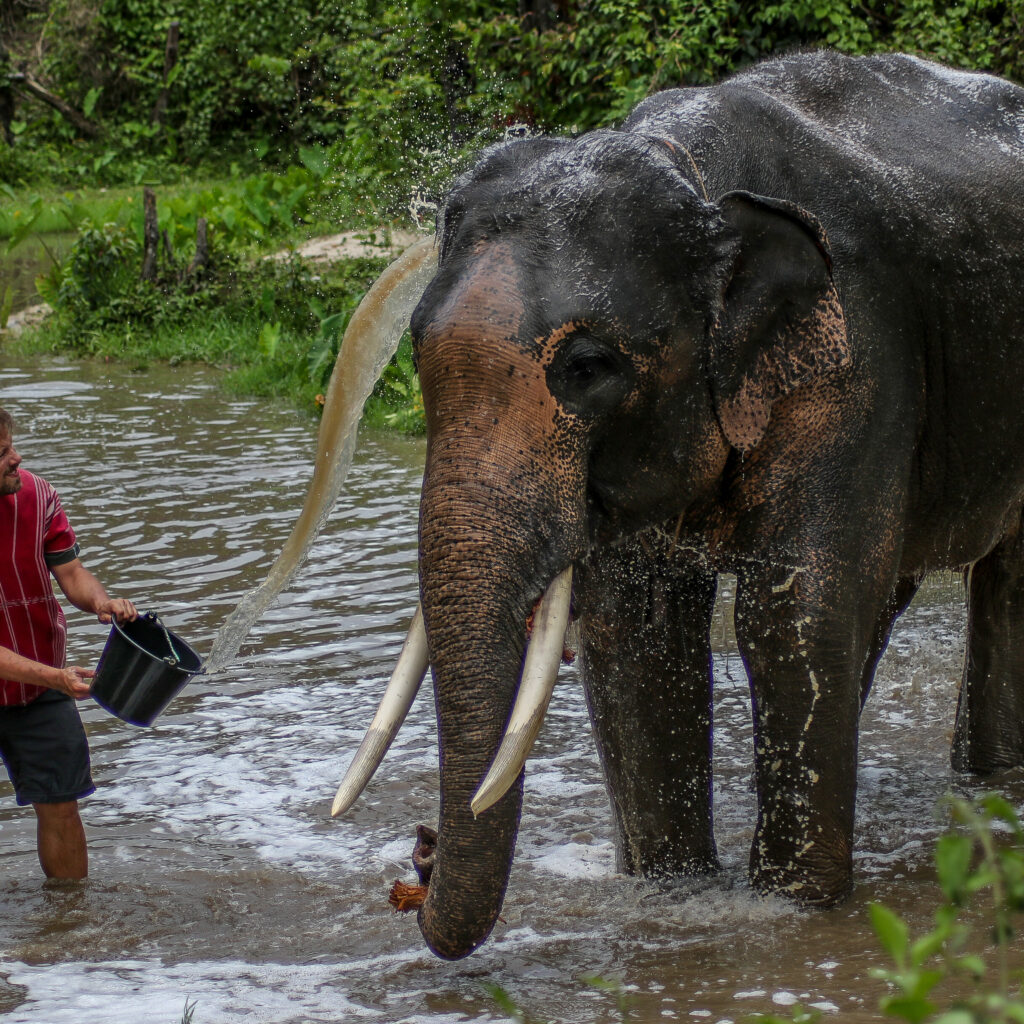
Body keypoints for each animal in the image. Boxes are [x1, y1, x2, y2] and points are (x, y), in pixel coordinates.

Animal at [324, 50, 1024, 961]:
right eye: (413, 348)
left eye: (588, 367)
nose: (418, 858)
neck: (691, 174)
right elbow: (638, 630)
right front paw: (671, 896)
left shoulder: (855, 353)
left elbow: (796, 609)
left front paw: (794, 911)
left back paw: (993, 788)